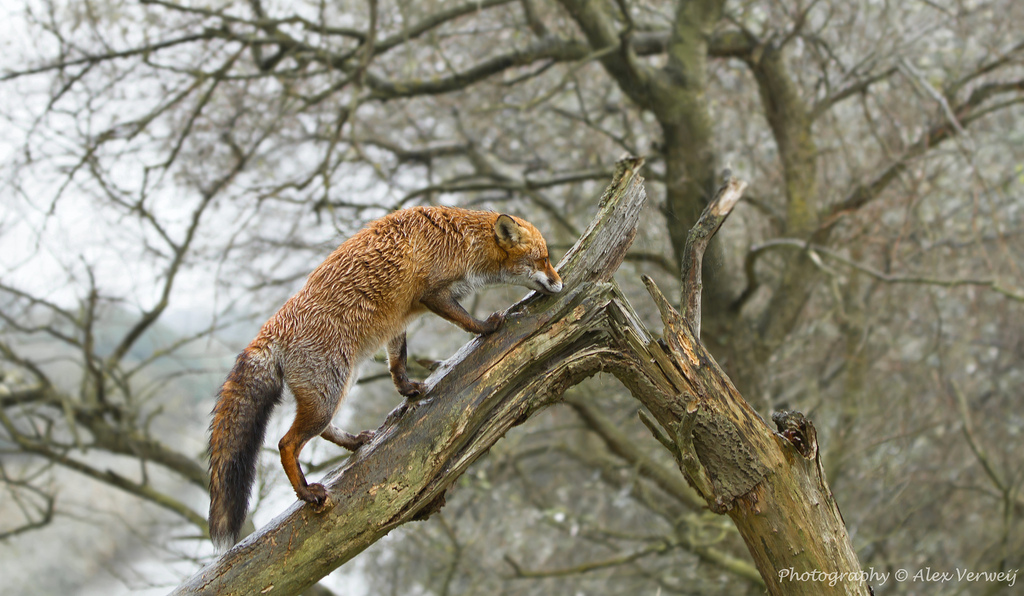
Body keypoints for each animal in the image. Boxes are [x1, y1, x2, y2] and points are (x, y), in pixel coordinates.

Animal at [207, 206, 563, 550]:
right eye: (543, 259)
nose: (560, 283)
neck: (460, 241)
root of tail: (270, 329)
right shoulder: (433, 294)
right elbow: (464, 320)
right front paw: (487, 327)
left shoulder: (397, 321)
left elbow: (398, 364)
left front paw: (408, 389)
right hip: (329, 391)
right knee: (286, 443)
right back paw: (306, 494)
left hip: (336, 388)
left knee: (321, 431)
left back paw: (353, 443)